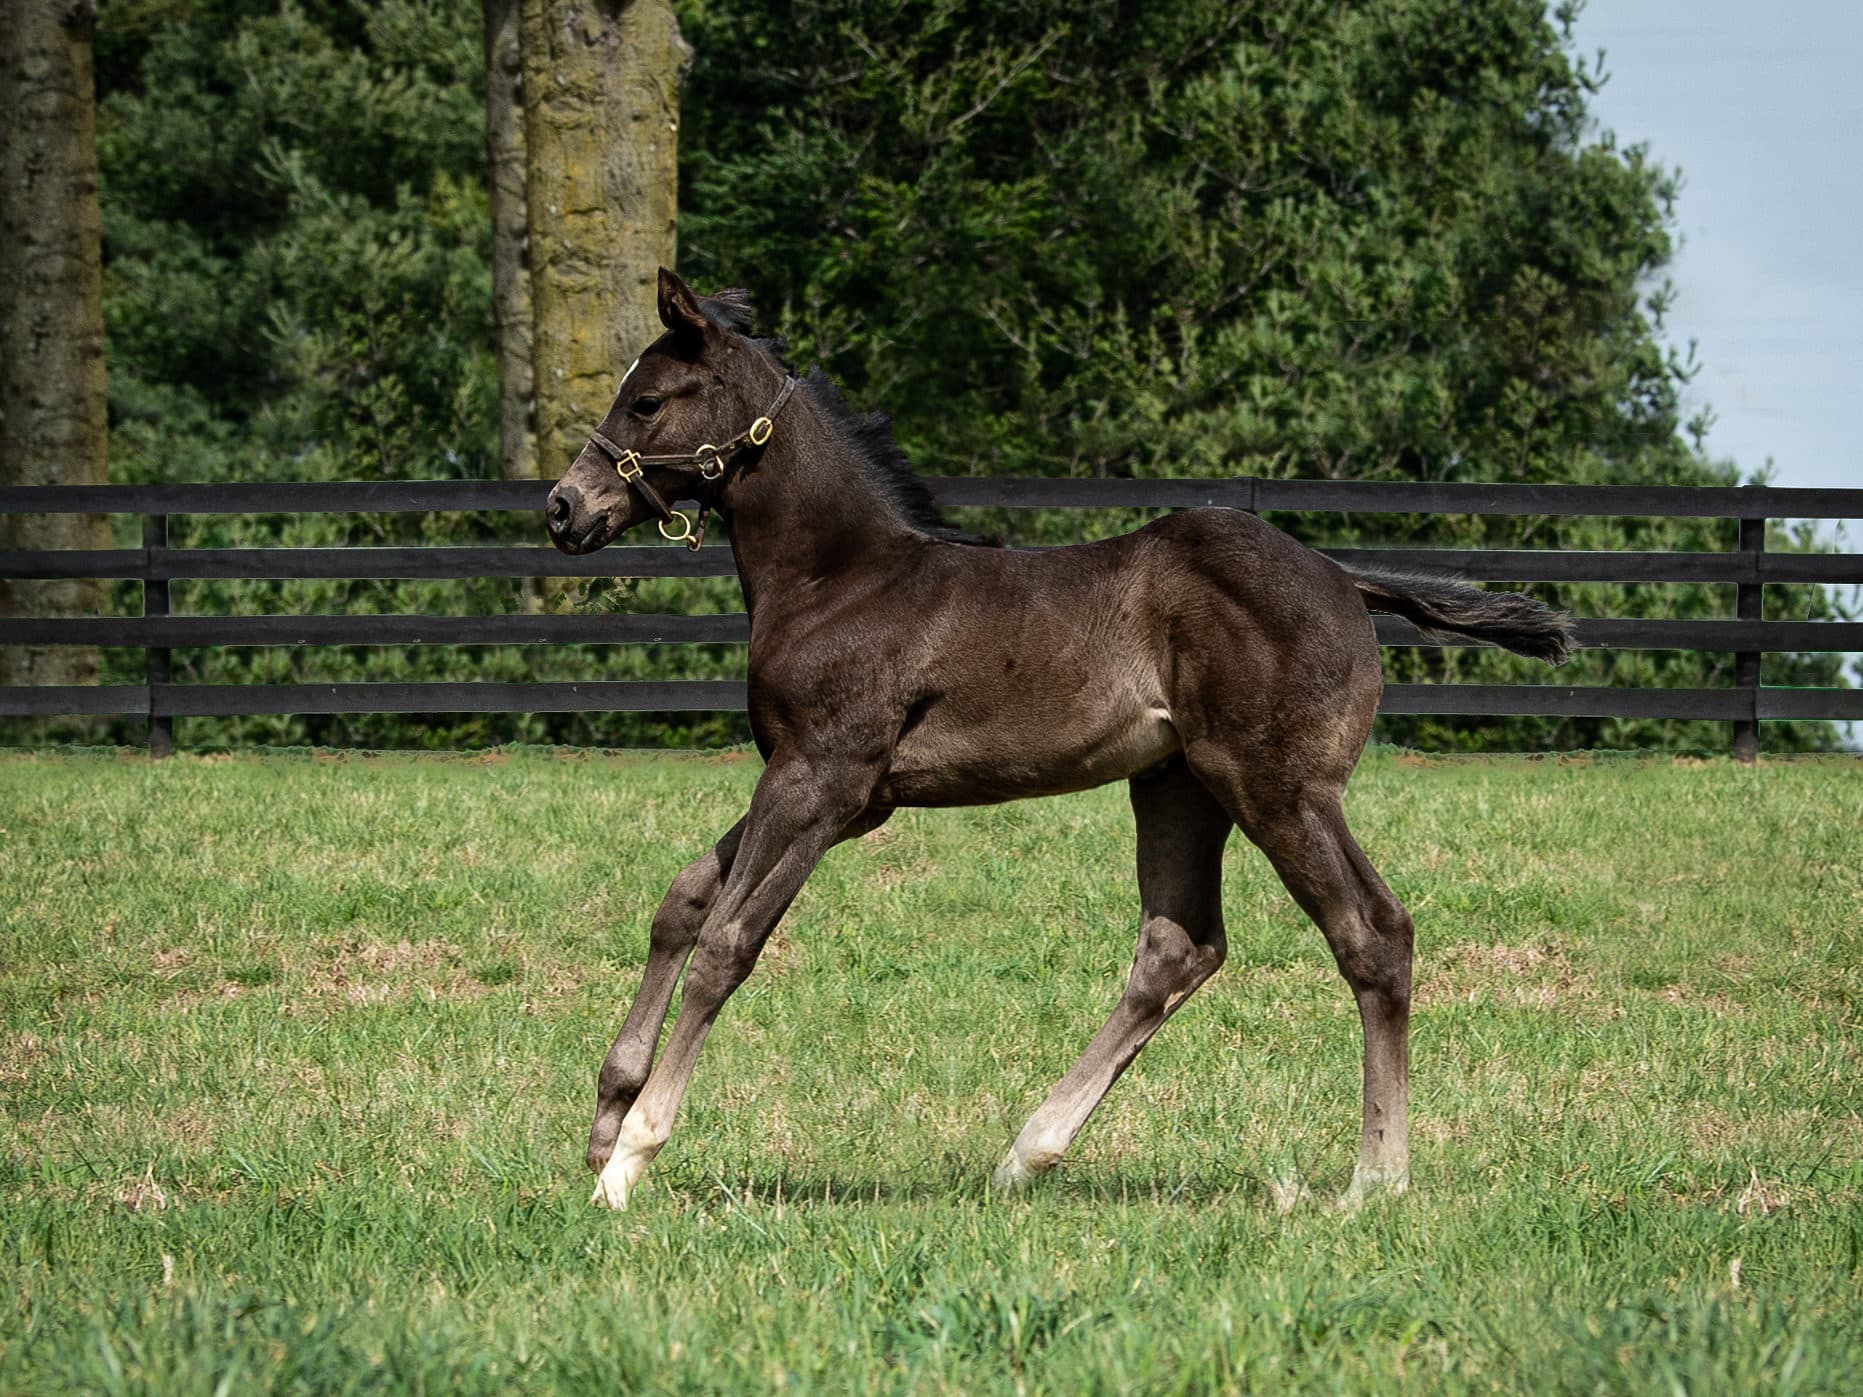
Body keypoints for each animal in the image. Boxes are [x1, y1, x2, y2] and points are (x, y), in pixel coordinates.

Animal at [546, 268, 1574, 1211]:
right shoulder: (840, 793)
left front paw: (629, 1161)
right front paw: (603, 1119)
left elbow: (729, 940)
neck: (841, 578)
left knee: (1371, 931)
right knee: (1178, 947)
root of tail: (1341, 575)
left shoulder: (823, 780)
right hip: (1178, 785)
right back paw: (1026, 1152)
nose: (563, 508)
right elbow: (683, 901)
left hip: (1278, 787)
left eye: (646, 400)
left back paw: (1373, 1179)